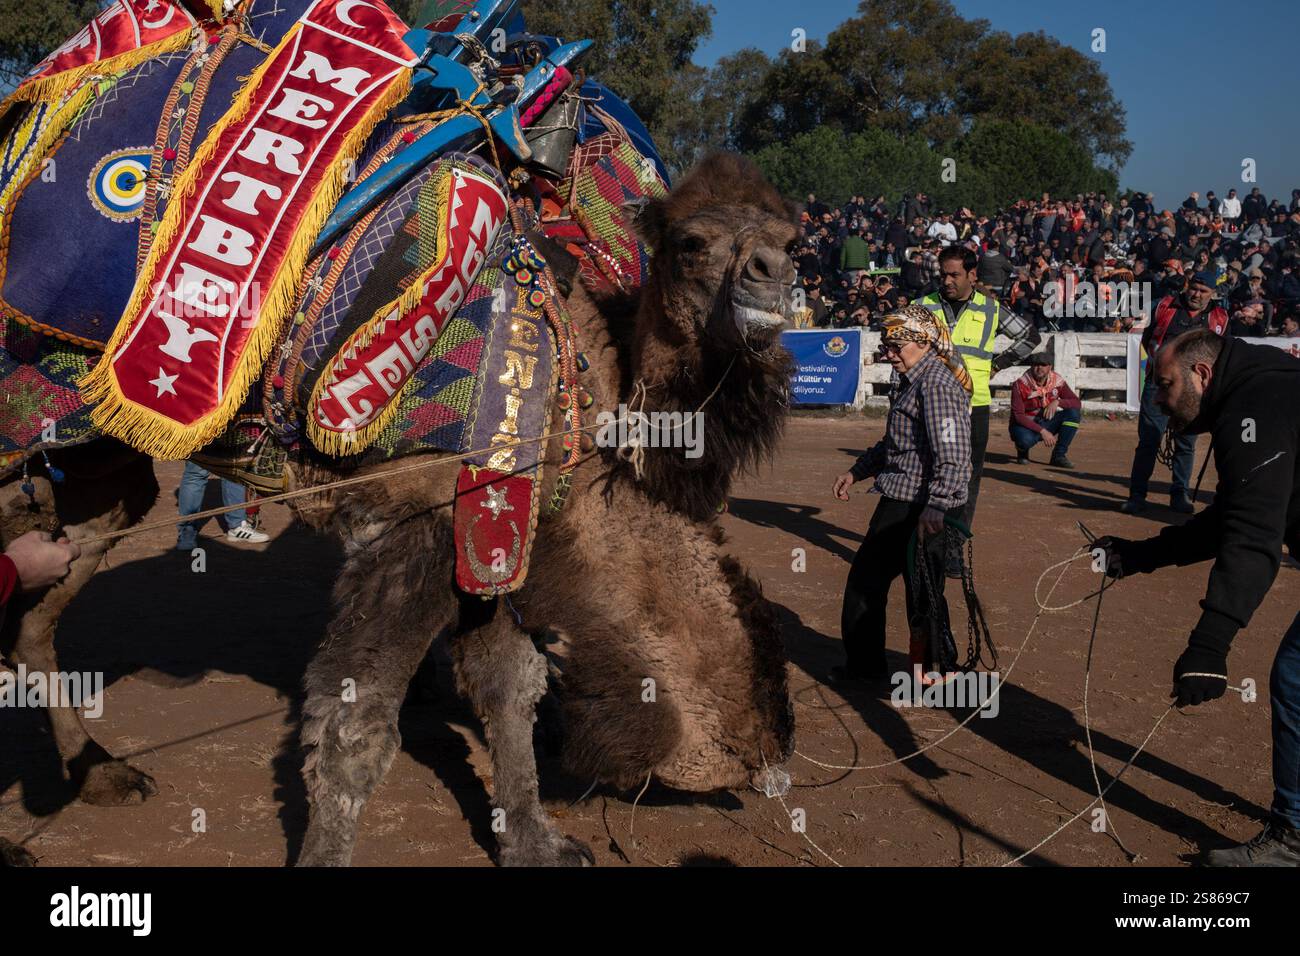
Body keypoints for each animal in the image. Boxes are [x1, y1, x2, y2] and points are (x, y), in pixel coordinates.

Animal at [1, 148, 800, 866]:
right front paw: (323, 859)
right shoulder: (420, 519)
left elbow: (509, 688)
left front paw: (537, 844)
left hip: (100, 468)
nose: (777, 275)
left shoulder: (493, 533)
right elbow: (355, 725)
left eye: (794, 239)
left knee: (36, 612)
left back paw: (100, 773)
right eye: (691, 243)